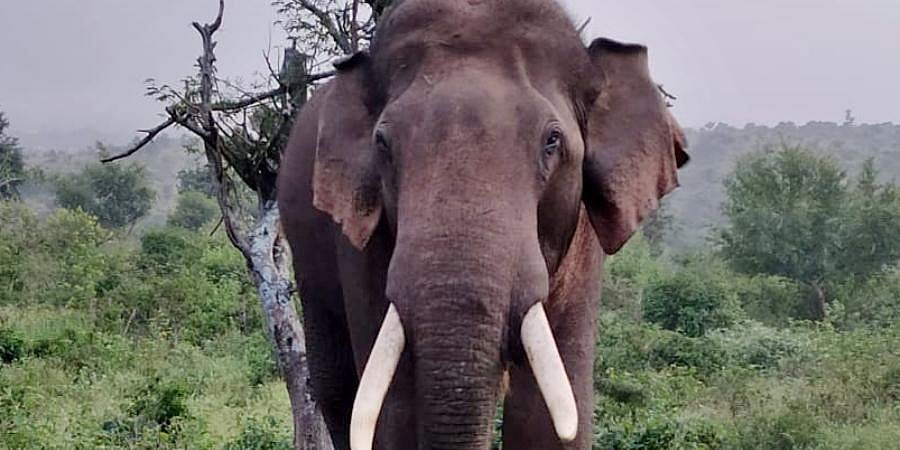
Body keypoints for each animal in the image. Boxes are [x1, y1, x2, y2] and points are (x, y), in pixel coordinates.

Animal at [277, 0, 689, 449]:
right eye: (382, 143)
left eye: (552, 141)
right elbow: (394, 409)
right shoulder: (363, 240)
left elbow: (548, 414)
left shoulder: (582, 242)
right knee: (337, 389)